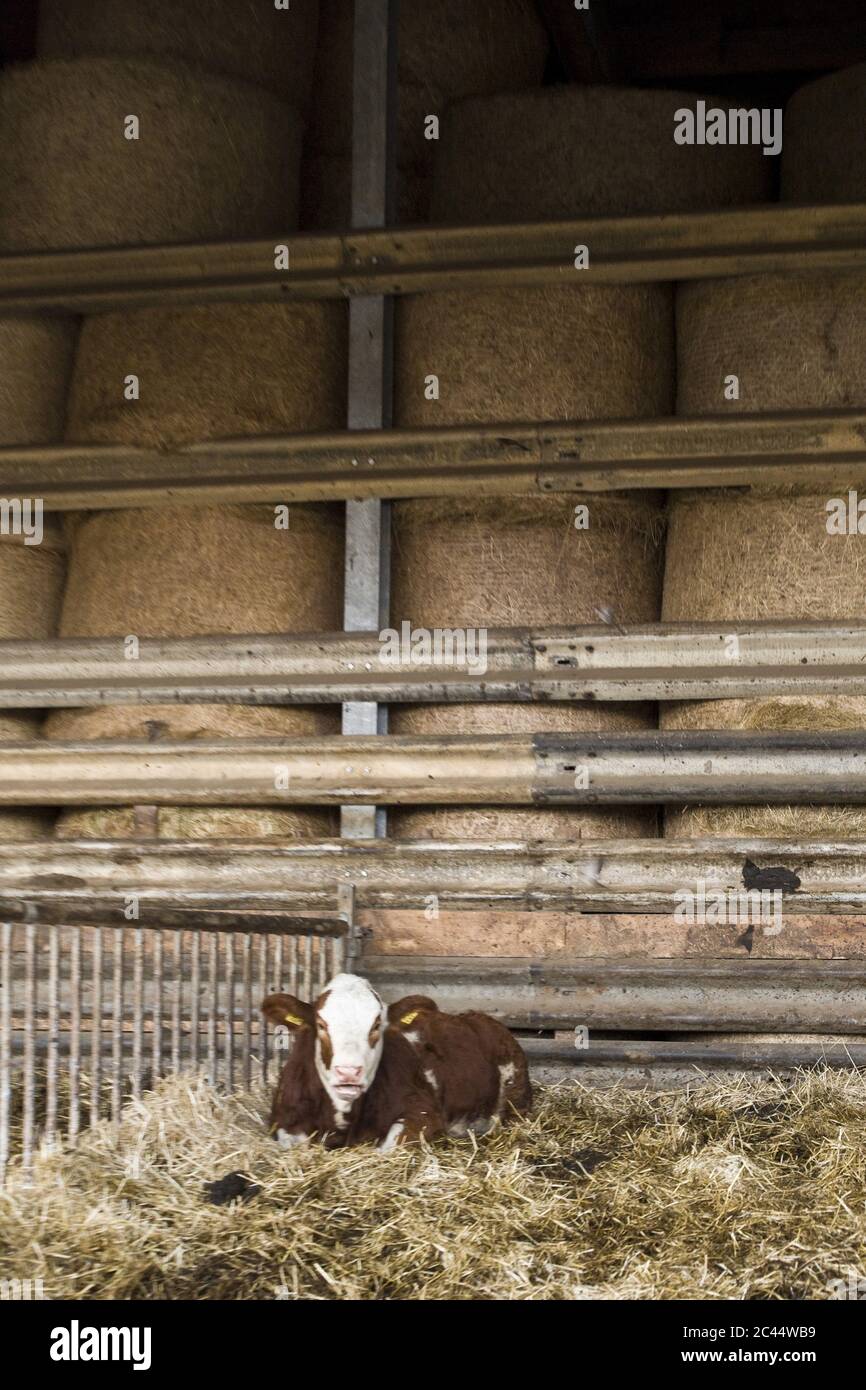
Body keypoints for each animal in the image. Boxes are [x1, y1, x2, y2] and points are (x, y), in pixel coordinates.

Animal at [261, 973, 445, 1151]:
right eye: (321, 1025)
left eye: (376, 1026)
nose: (348, 1072)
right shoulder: (285, 1116)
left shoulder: (422, 1108)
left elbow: (391, 1144)